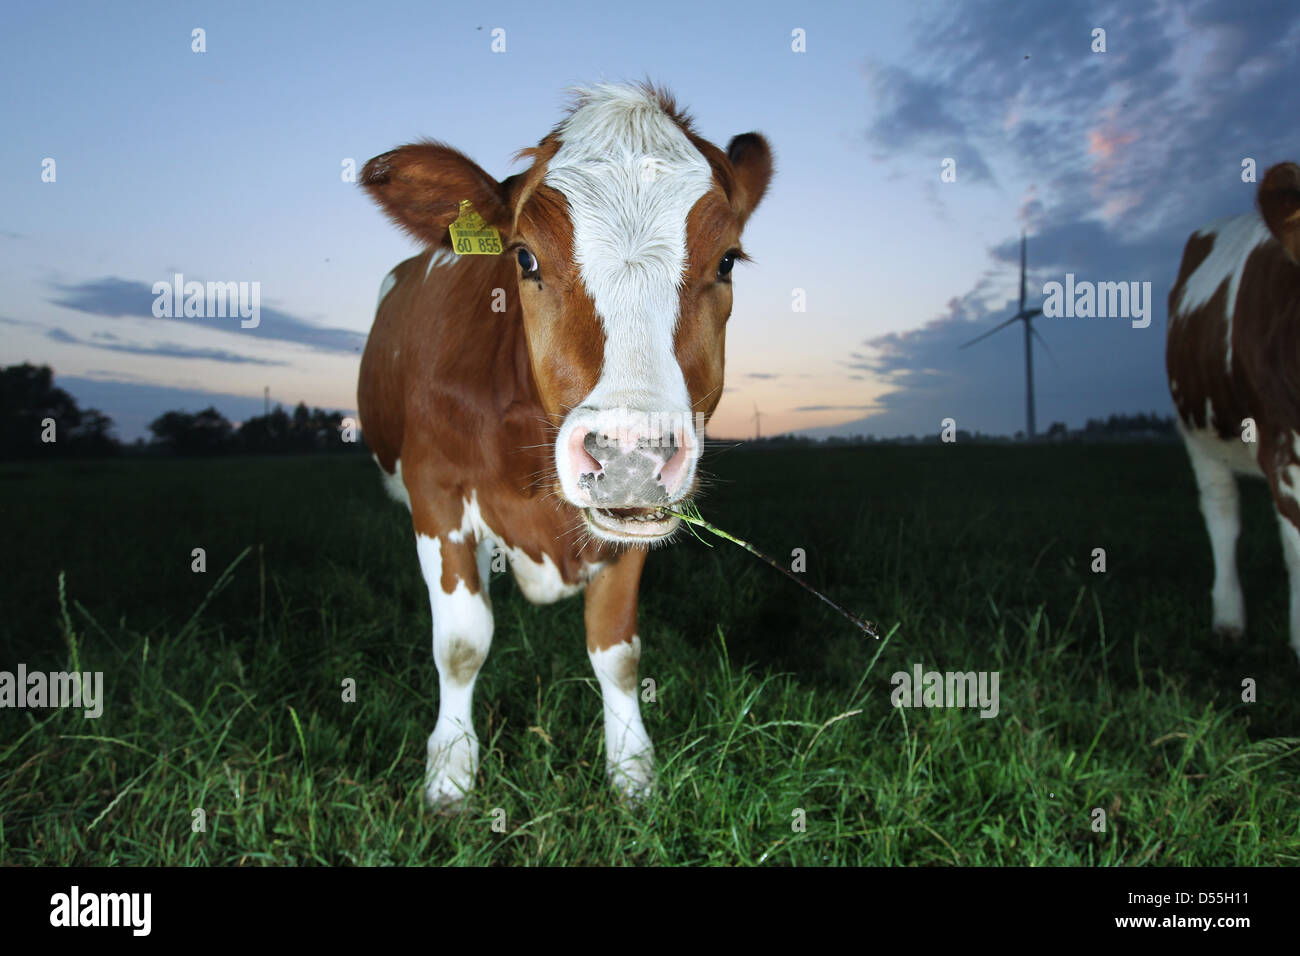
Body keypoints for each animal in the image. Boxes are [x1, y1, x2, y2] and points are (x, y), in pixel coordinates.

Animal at [357, 83, 772, 807]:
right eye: (524, 256)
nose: (631, 452)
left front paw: (632, 771)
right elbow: (461, 643)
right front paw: (451, 773)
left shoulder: (632, 526)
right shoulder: (435, 493)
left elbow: (617, 651)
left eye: (726, 260)